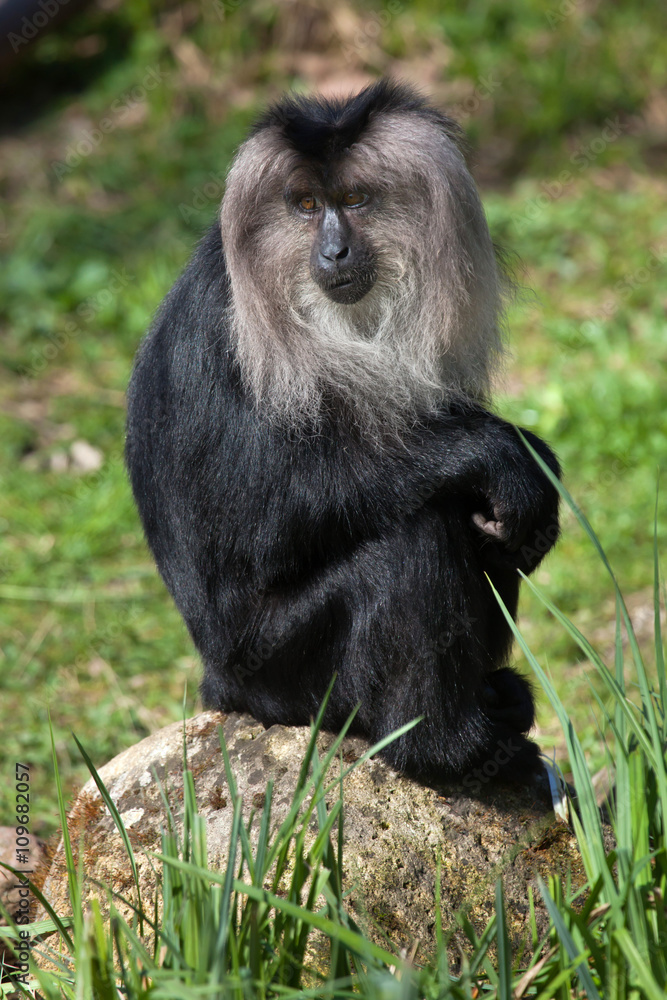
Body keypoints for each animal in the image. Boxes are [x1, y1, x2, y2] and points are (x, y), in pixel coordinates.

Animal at [125, 79, 560, 785]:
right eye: (305, 206)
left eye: (354, 200)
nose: (333, 251)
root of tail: (220, 686)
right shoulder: (222, 323)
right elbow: (259, 520)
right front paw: (506, 454)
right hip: (279, 671)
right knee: (413, 536)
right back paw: (447, 748)